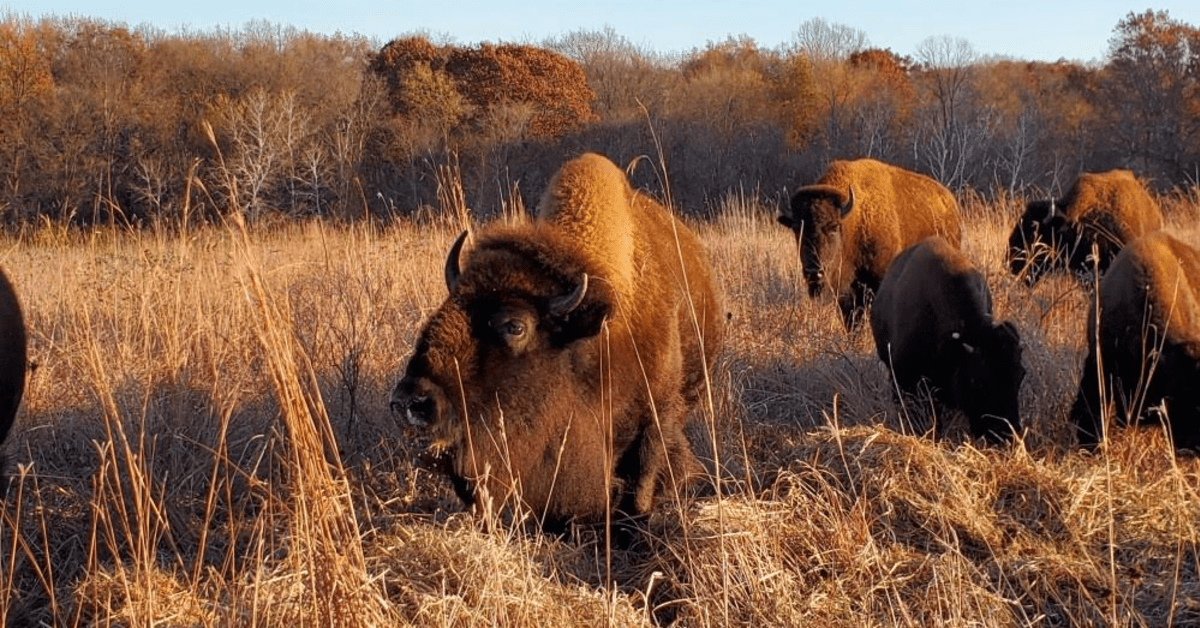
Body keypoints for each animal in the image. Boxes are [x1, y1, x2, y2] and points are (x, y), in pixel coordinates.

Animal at [389, 153, 724, 530]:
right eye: (446, 308)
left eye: (514, 326)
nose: (411, 401)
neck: (595, 338)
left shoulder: (658, 413)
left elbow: (644, 474)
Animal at [777, 158, 962, 330]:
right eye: (796, 228)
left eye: (833, 226)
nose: (814, 272)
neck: (853, 221)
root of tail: (951, 205)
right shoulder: (847, 294)